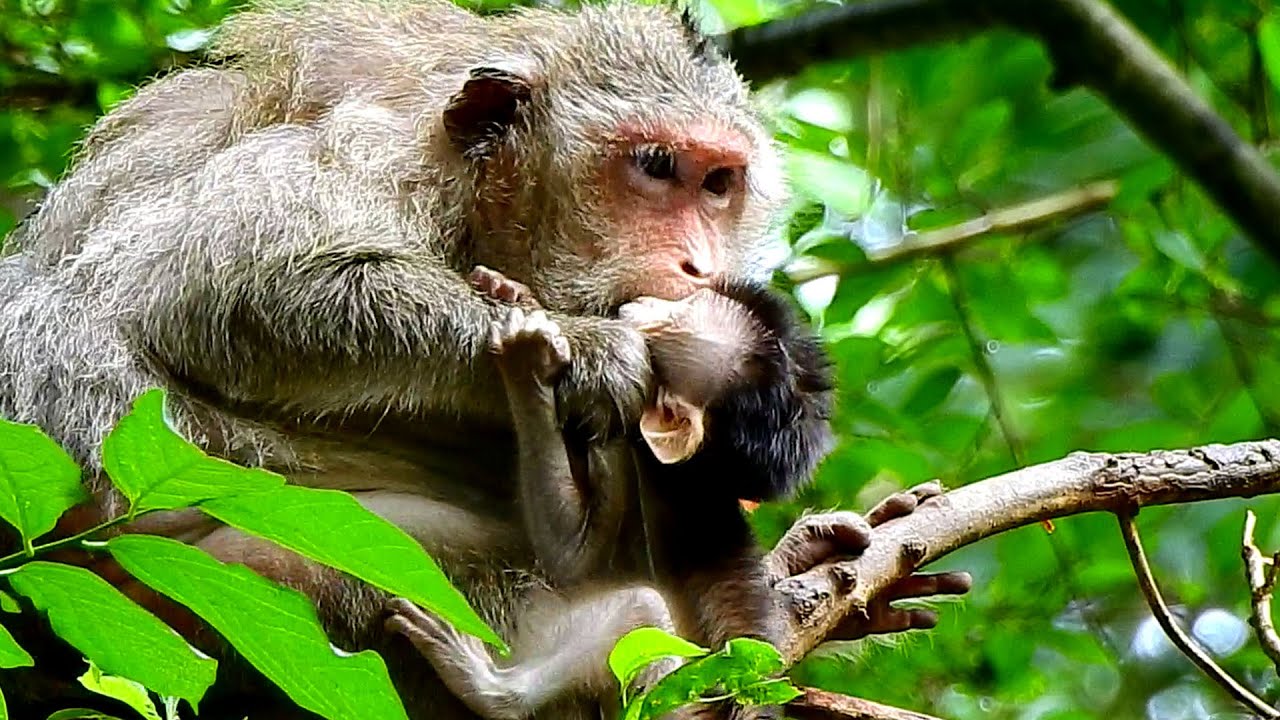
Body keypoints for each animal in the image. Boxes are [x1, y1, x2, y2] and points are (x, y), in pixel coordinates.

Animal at [383, 267, 835, 720]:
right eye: (684, 303)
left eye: (677, 317)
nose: (647, 302)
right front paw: (511, 291)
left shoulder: (627, 436)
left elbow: (573, 559)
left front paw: (530, 367)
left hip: (662, 698)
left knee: (642, 608)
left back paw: (494, 691)